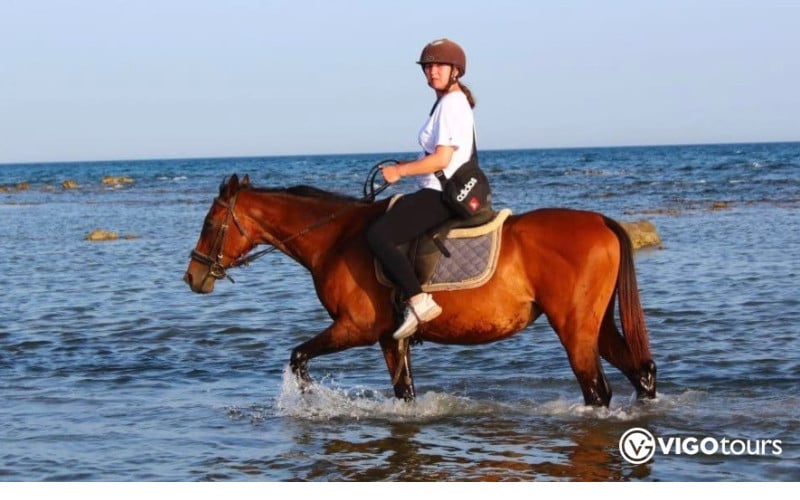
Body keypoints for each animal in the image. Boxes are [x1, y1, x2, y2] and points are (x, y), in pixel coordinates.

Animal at [184, 174, 657, 407]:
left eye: (210, 223)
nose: (192, 277)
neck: (337, 237)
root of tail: (600, 221)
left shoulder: (358, 328)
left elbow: (298, 358)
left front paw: (311, 401)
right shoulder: (392, 338)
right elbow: (405, 393)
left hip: (575, 330)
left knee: (598, 390)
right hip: (596, 325)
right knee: (641, 375)